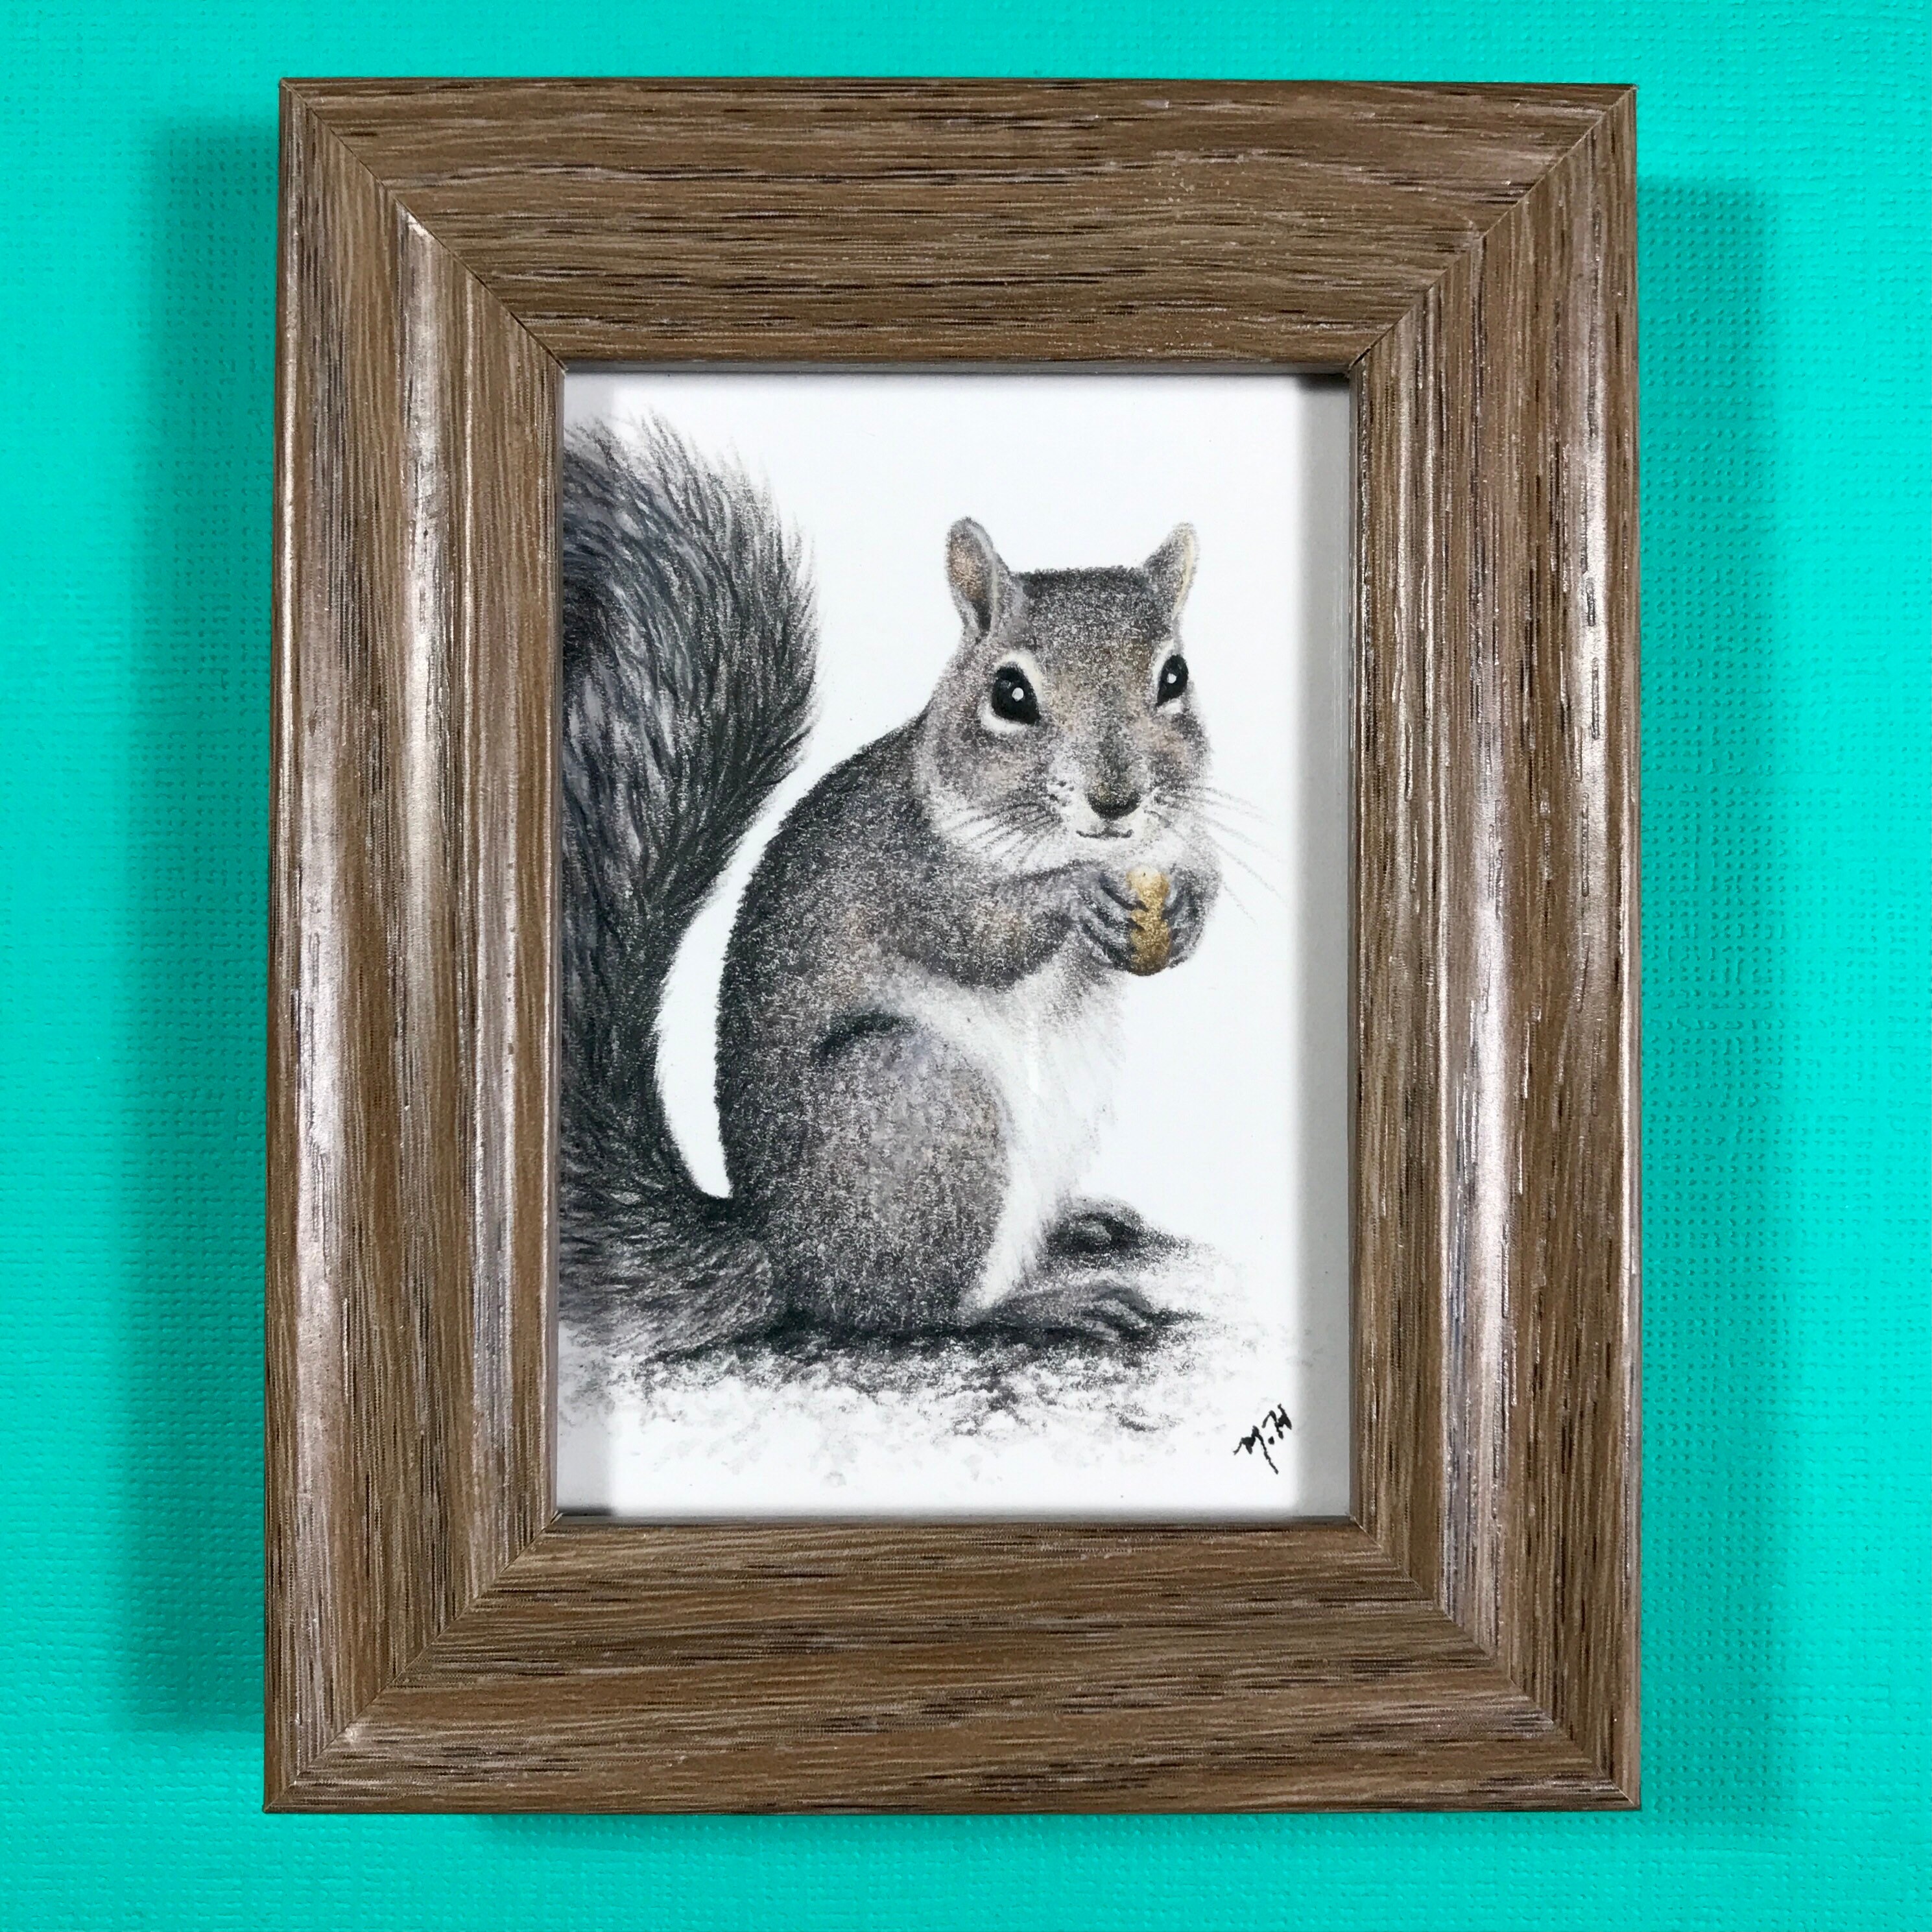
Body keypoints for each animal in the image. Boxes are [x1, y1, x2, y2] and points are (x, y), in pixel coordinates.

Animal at [560, 420, 1221, 1357]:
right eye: (1009, 693)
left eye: (1174, 677)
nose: (1116, 799)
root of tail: (781, 1253)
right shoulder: (903, 868)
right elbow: (974, 935)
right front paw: (1072, 894)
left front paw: (1189, 910)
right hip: (920, 1106)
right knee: (907, 1309)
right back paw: (1043, 1303)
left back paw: (1076, 1225)